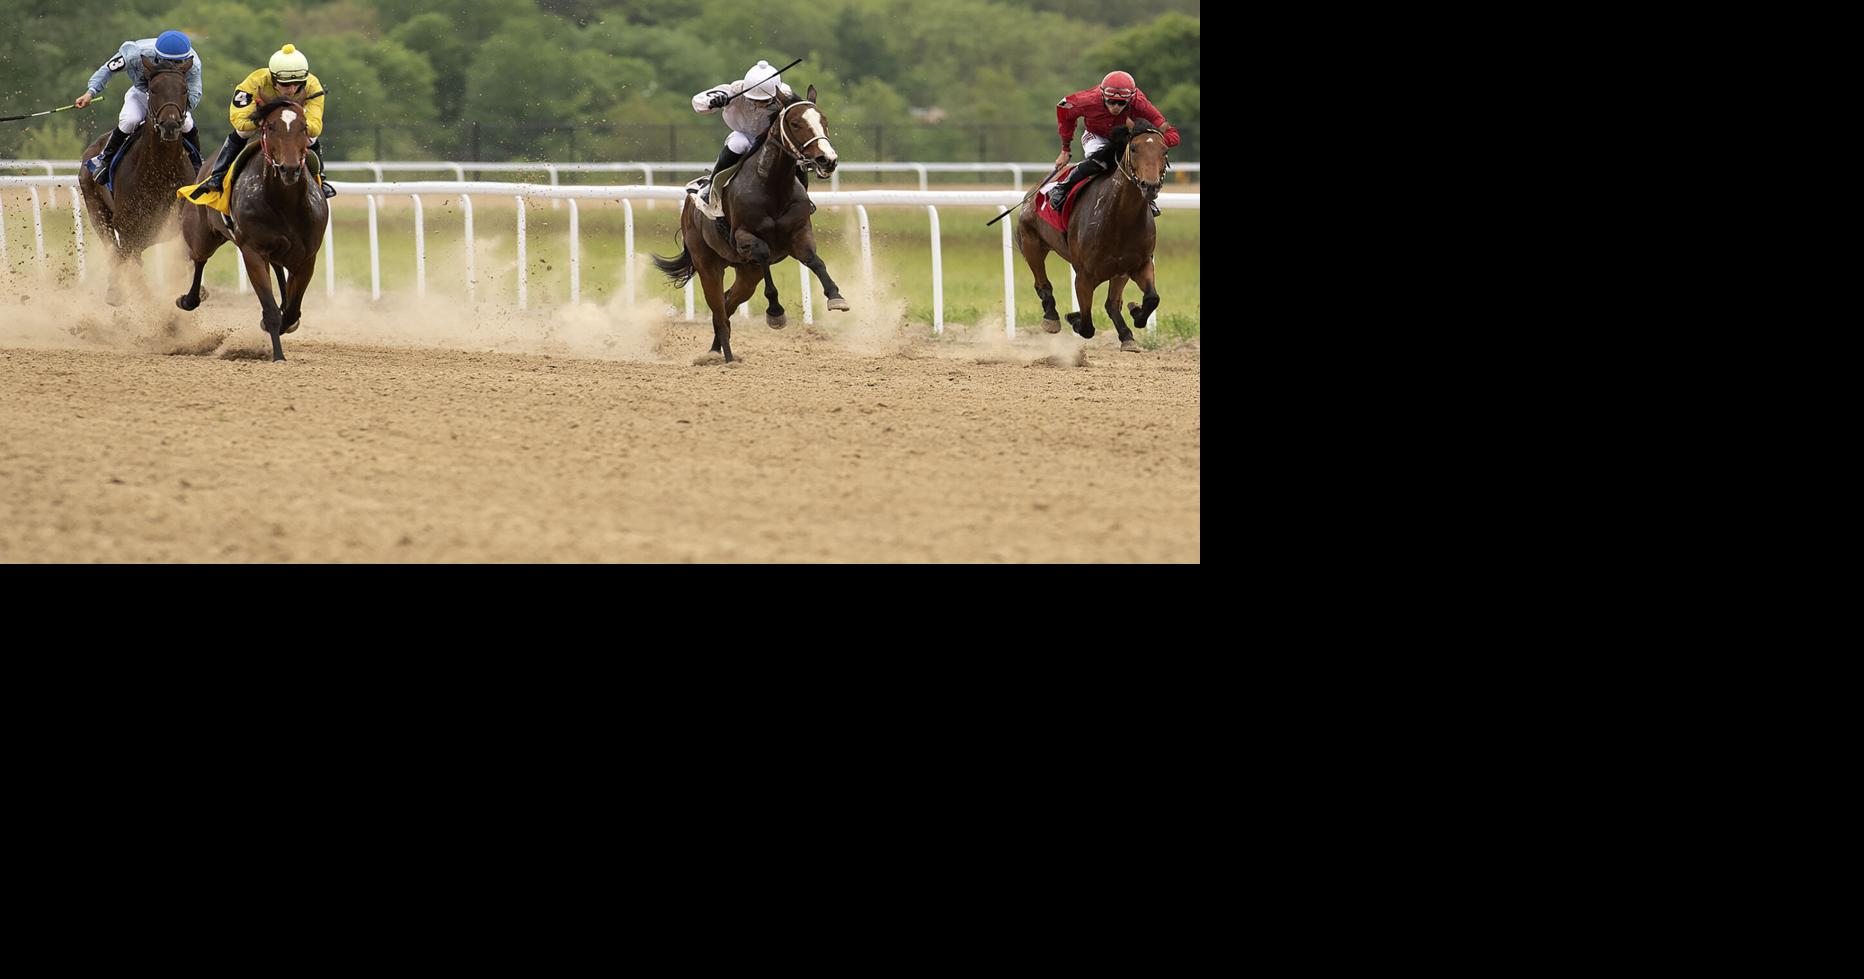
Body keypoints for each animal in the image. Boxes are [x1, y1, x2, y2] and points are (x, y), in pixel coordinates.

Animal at [75, 66, 197, 305]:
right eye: (153, 89)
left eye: (184, 89)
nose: (170, 125)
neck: (159, 171)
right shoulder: (127, 225)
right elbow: (127, 257)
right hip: (97, 211)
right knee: (115, 250)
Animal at [175, 99, 327, 362]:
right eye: (271, 127)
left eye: (304, 127)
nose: (289, 169)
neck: (285, 202)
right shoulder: (253, 252)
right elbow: (271, 310)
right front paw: (278, 355)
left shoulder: (307, 257)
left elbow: (292, 311)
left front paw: (283, 323)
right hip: (201, 235)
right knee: (198, 259)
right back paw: (189, 299)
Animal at [650, 85, 848, 363]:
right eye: (796, 123)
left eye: (824, 121)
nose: (827, 160)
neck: (772, 187)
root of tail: (690, 200)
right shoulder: (743, 238)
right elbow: (764, 252)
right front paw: (775, 312)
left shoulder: (799, 234)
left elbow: (814, 261)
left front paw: (836, 297)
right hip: (708, 264)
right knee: (719, 310)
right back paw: (726, 357)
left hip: (747, 273)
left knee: (727, 304)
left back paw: (716, 350)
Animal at [1016, 119, 1170, 352]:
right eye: (1134, 148)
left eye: (1164, 150)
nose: (1150, 186)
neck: (1119, 219)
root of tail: (1032, 193)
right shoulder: (1084, 276)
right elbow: (1087, 326)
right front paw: (1074, 317)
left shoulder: (1139, 264)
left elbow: (1152, 298)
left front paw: (1135, 311)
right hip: (1032, 243)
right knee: (1042, 284)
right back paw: (1051, 317)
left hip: (1120, 271)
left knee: (1112, 303)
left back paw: (1126, 335)